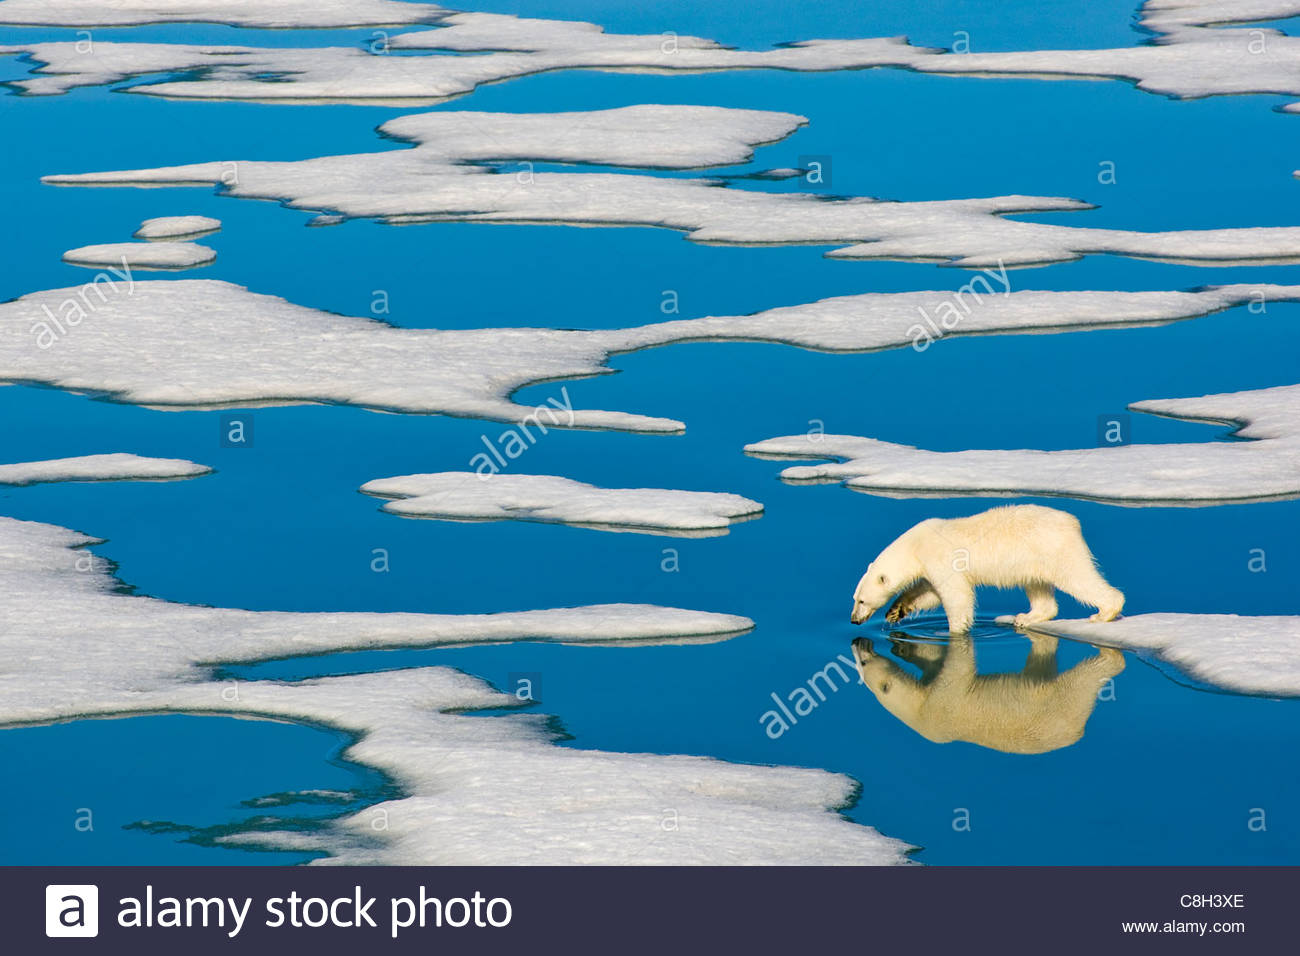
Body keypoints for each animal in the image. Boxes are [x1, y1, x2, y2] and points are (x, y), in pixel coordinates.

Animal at [849, 504, 1123, 633]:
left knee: (1077, 577)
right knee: (1037, 585)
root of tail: (1073, 522)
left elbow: (956, 596)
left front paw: (955, 630)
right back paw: (1026, 617)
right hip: (1034, 558)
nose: (853, 620)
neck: (916, 545)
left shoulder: (940, 557)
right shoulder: (930, 566)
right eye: (855, 598)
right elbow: (928, 593)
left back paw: (1104, 613)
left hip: (1056, 550)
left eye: (861, 600)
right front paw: (896, 610)